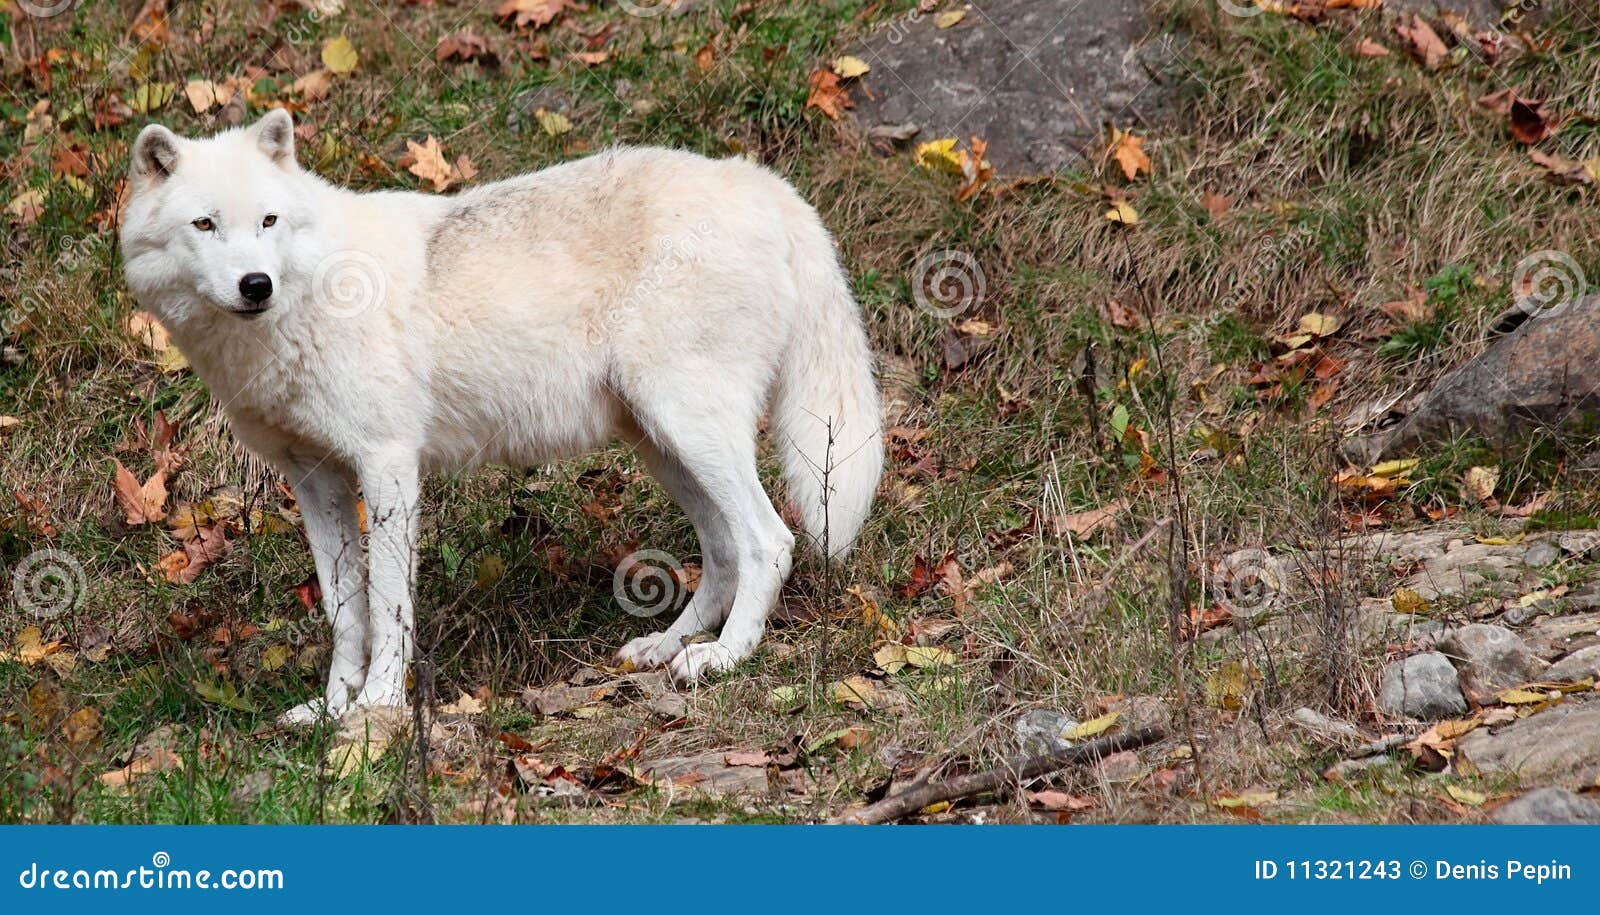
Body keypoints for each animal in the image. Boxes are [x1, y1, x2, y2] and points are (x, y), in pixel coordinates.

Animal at [119, 110, 883, 724]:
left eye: (268, 222)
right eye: (205, 225)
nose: (256, 285)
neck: (305, 301)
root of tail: (761, 181)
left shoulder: (388, 463)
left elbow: (388, 601)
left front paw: (377, 707)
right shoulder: (315, 479)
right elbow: (344, 609)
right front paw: (331, 709)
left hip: (690, 428)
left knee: (769, 540)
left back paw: (723, 658)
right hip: (662, 443)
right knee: (722, 549)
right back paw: (667, 646)